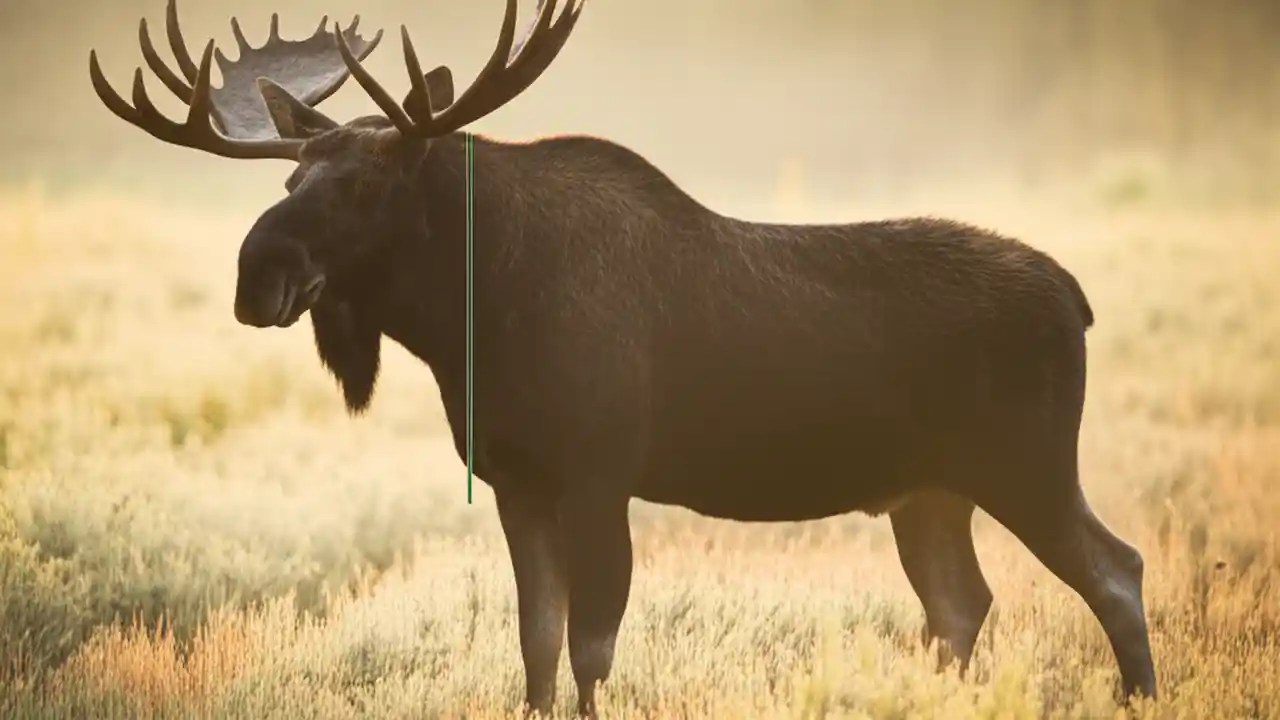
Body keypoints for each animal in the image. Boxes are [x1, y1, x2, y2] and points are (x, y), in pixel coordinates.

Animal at [89, 1, 1157, 716]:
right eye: (290, 178)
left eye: (364, 183)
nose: (255, 273)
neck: (469, 324)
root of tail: (1079, 300)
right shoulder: (516, 480)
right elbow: (537, 643)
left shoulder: (601, 474)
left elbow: (593, 647)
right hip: (928, 490)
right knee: (960, 604)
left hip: (1023, 464)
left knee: (1115, 569)